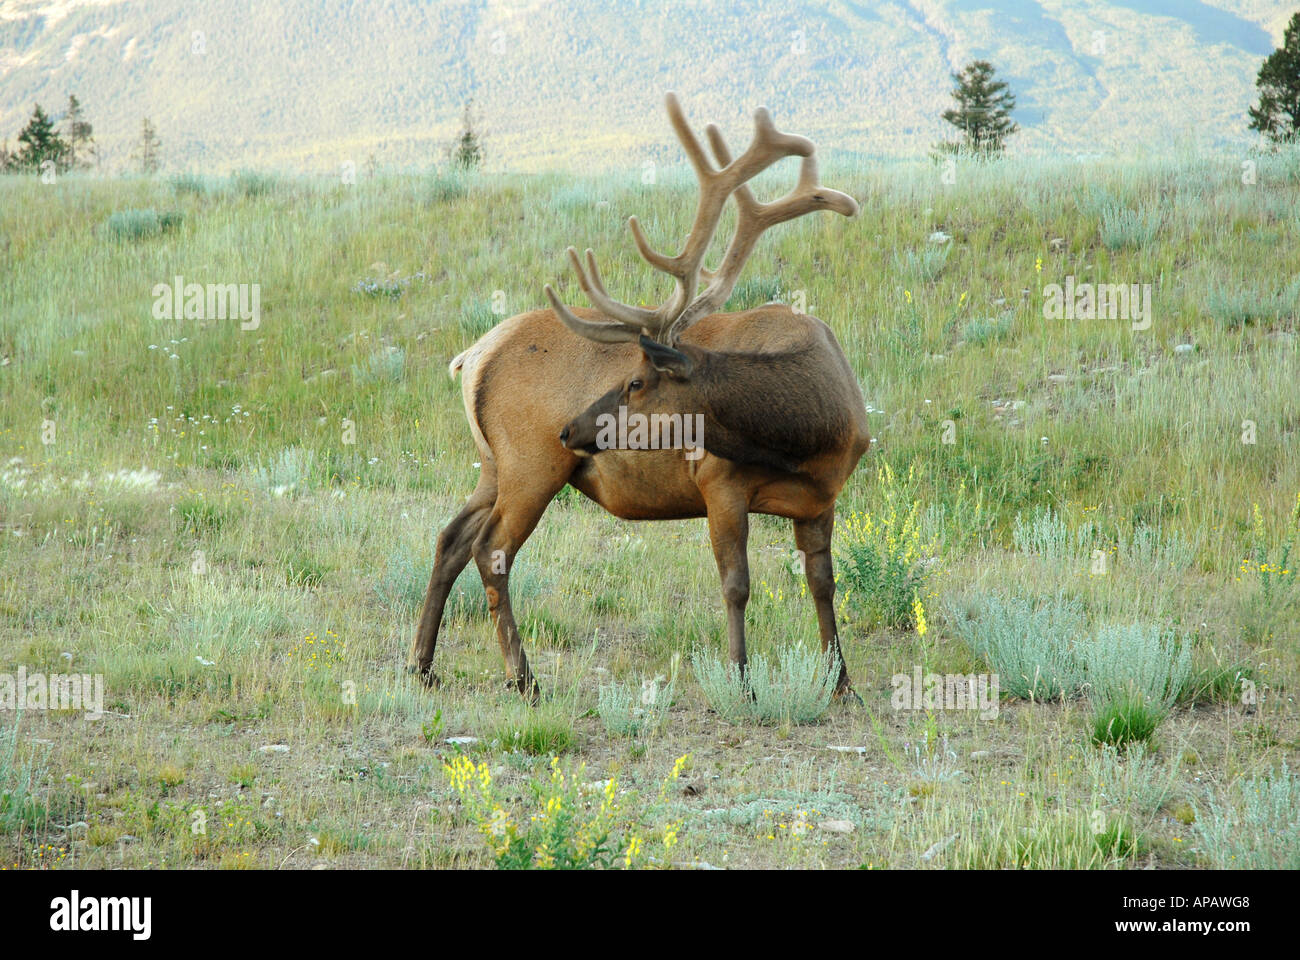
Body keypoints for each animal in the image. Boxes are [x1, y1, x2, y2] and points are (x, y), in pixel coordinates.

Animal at [409, 92, 871, 704]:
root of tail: (472, 355)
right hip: (532, 462)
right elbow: (736, 584)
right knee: (492, 549)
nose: (572, 427)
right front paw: (741, 681)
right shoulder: (719, 480)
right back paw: (523, 676)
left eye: (635, 382)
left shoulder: (824, 497)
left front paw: (841, 682)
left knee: (451, 538)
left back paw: (422, 664)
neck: (810, 434)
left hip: (494, 465)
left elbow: (823, 582)